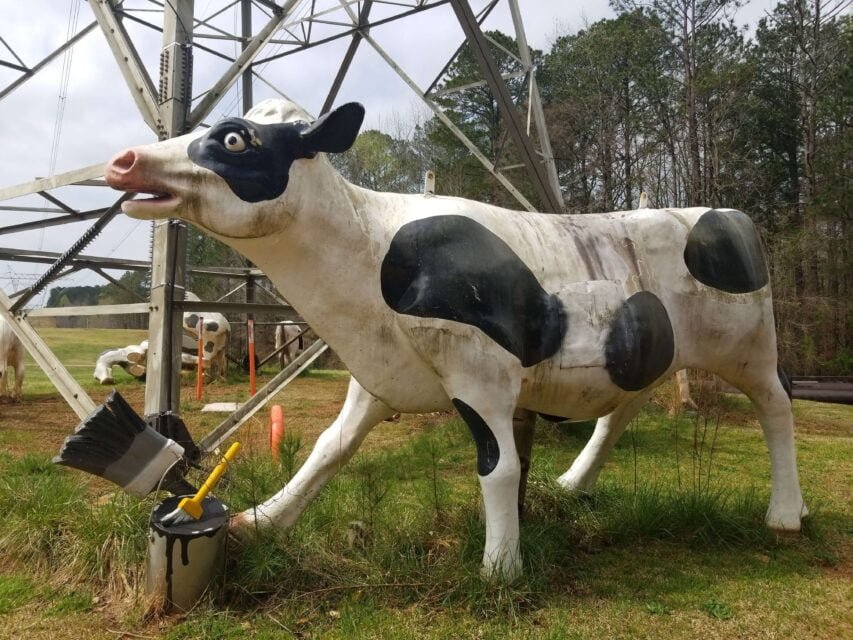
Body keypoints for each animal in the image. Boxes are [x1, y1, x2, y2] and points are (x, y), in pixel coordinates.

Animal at [104, 98, 807, 581]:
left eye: (234, 138)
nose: (125, 160)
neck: (364, 250)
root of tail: (726, 211)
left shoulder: (482, 374)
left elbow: (499, 468)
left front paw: (500, 569)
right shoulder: (377, 372)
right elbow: (328, 449)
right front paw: (264, 519)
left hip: (750, 345)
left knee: (777, 408)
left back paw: (785, 515)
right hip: (650, 352)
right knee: (623, 409)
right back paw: (573, 483)